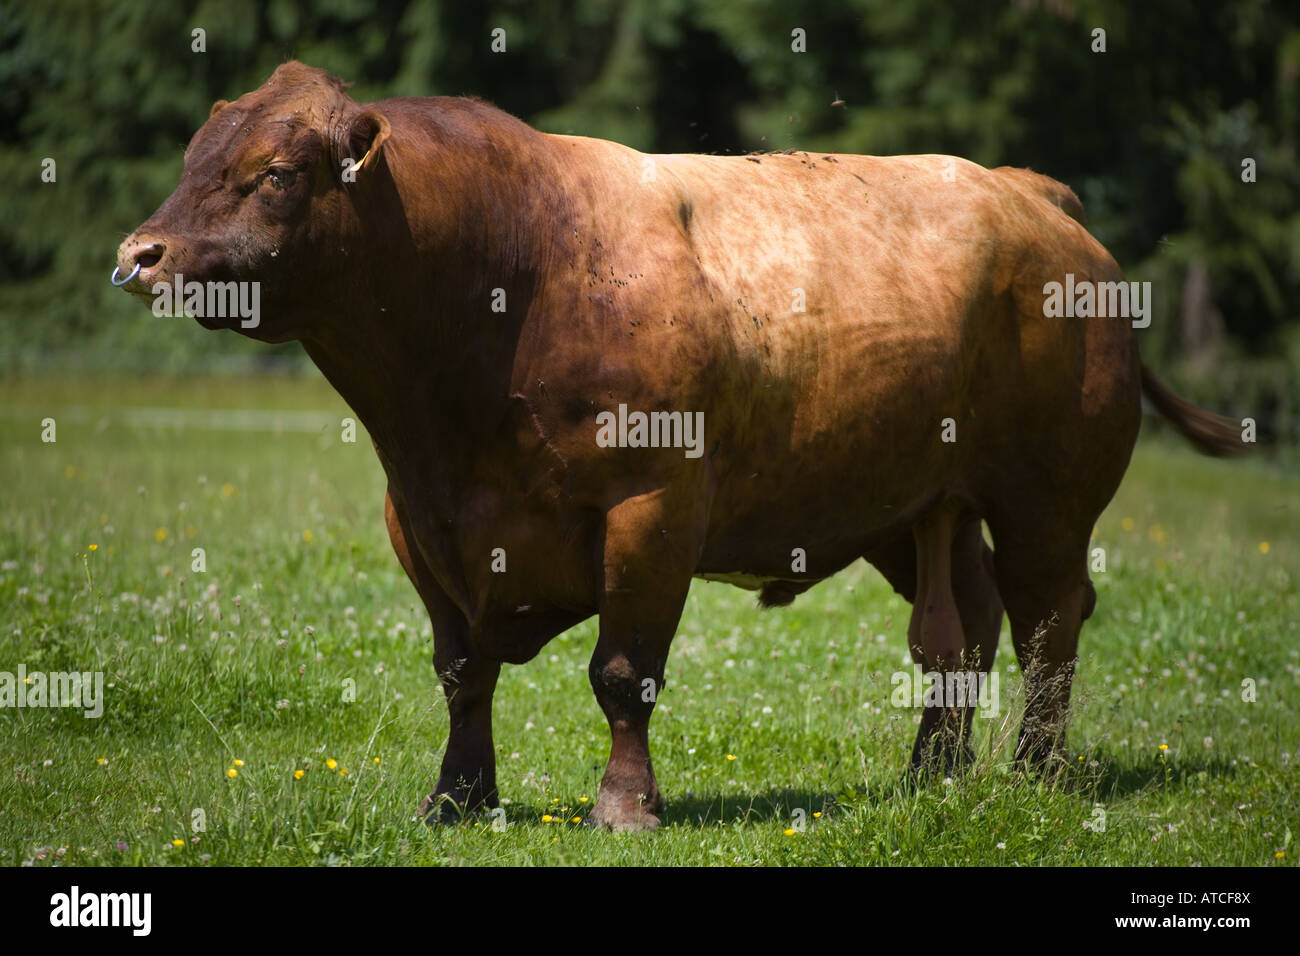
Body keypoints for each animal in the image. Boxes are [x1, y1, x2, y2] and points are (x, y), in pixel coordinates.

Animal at [114, 62, 1243, 831]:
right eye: (194, 159)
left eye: (276, 172)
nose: (140, 256)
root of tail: (1031, 195)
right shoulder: (419, 519)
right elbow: (461, 670)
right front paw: (459, 797)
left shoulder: (651, 507)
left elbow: (623, 672)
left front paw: (624, 807)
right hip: (920, 503)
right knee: (956, 628)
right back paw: (932, 774)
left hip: (1047, 496)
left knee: (1050, 619)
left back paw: (1035, 772)